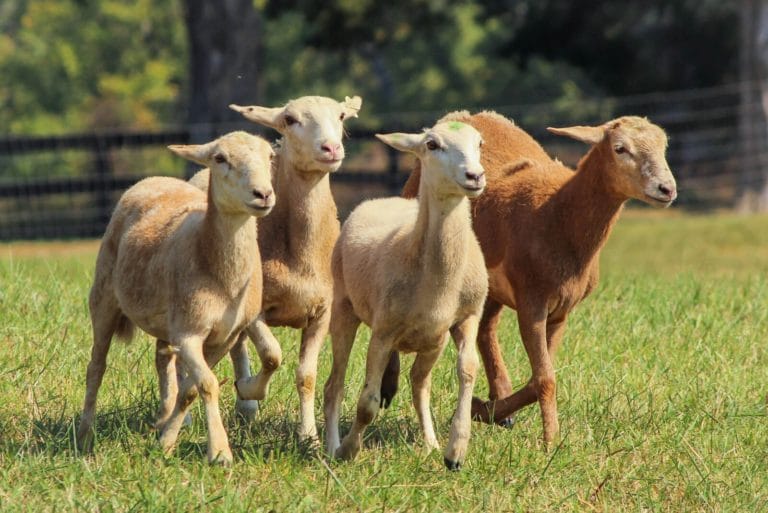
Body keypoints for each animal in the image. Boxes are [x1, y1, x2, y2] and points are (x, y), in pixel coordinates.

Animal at [76, 131, 277, 464]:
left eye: (271, 157)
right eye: (220, 158)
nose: (262, 194)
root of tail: (151, 179)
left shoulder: (224, 337)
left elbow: (191, 389)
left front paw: (166, 441)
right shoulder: (189, 333)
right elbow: (208, 384)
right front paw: (219, 451)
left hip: (165, 320)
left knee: (161, 358)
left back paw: (162, 417)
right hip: (103, 297)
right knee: (96, 367)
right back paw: (85, 435)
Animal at [182, 95, 362, 439]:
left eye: (341, 116)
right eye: (290, 120)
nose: (331, 148)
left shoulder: (323, 312)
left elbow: (306, 375)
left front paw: (309, 436)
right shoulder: (256, 311)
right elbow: (272, 354)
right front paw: (250, 389)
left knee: (235, 346)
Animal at [323, 120, 489, 470]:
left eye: (479, 143)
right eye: (432, 145)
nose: (474, 176)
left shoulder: (468, 316)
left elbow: (468, 370)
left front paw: (456, 450)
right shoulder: (383, 332)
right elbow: (367, 403)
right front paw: (348, 450)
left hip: (433, 341)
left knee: (419, 385)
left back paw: (430, 443)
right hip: (343, 307)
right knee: (334, 386)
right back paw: (331, 447)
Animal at [391, 111, 677, 444]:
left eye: (664, 146)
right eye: (620, 149)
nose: (666, 189)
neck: (557, 217)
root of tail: (465, 115)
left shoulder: (561, 309)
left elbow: (539, 376)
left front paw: (484, 410)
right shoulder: (532, 301)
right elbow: (545, 377)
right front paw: (551, 439)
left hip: (492, 287)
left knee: (486, 329)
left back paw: (499, 399)